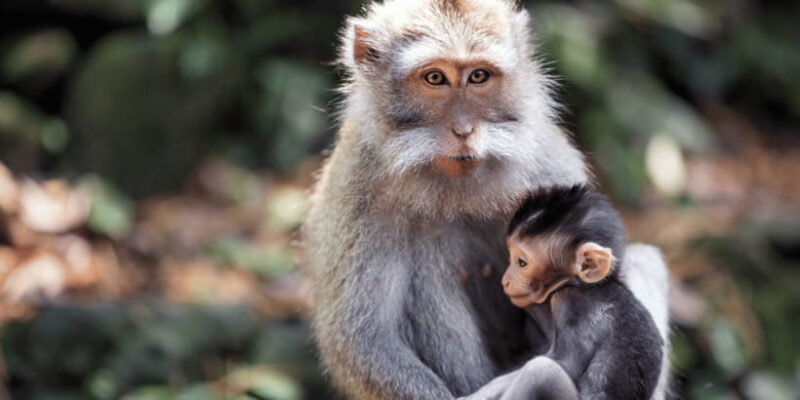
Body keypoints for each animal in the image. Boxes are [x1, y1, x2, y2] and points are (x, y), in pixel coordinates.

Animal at [499, 184, 664, 399]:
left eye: (521, 262)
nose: (505, 281)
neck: (589, 286)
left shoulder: (571, 305)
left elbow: (565, 364)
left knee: (543, 370)